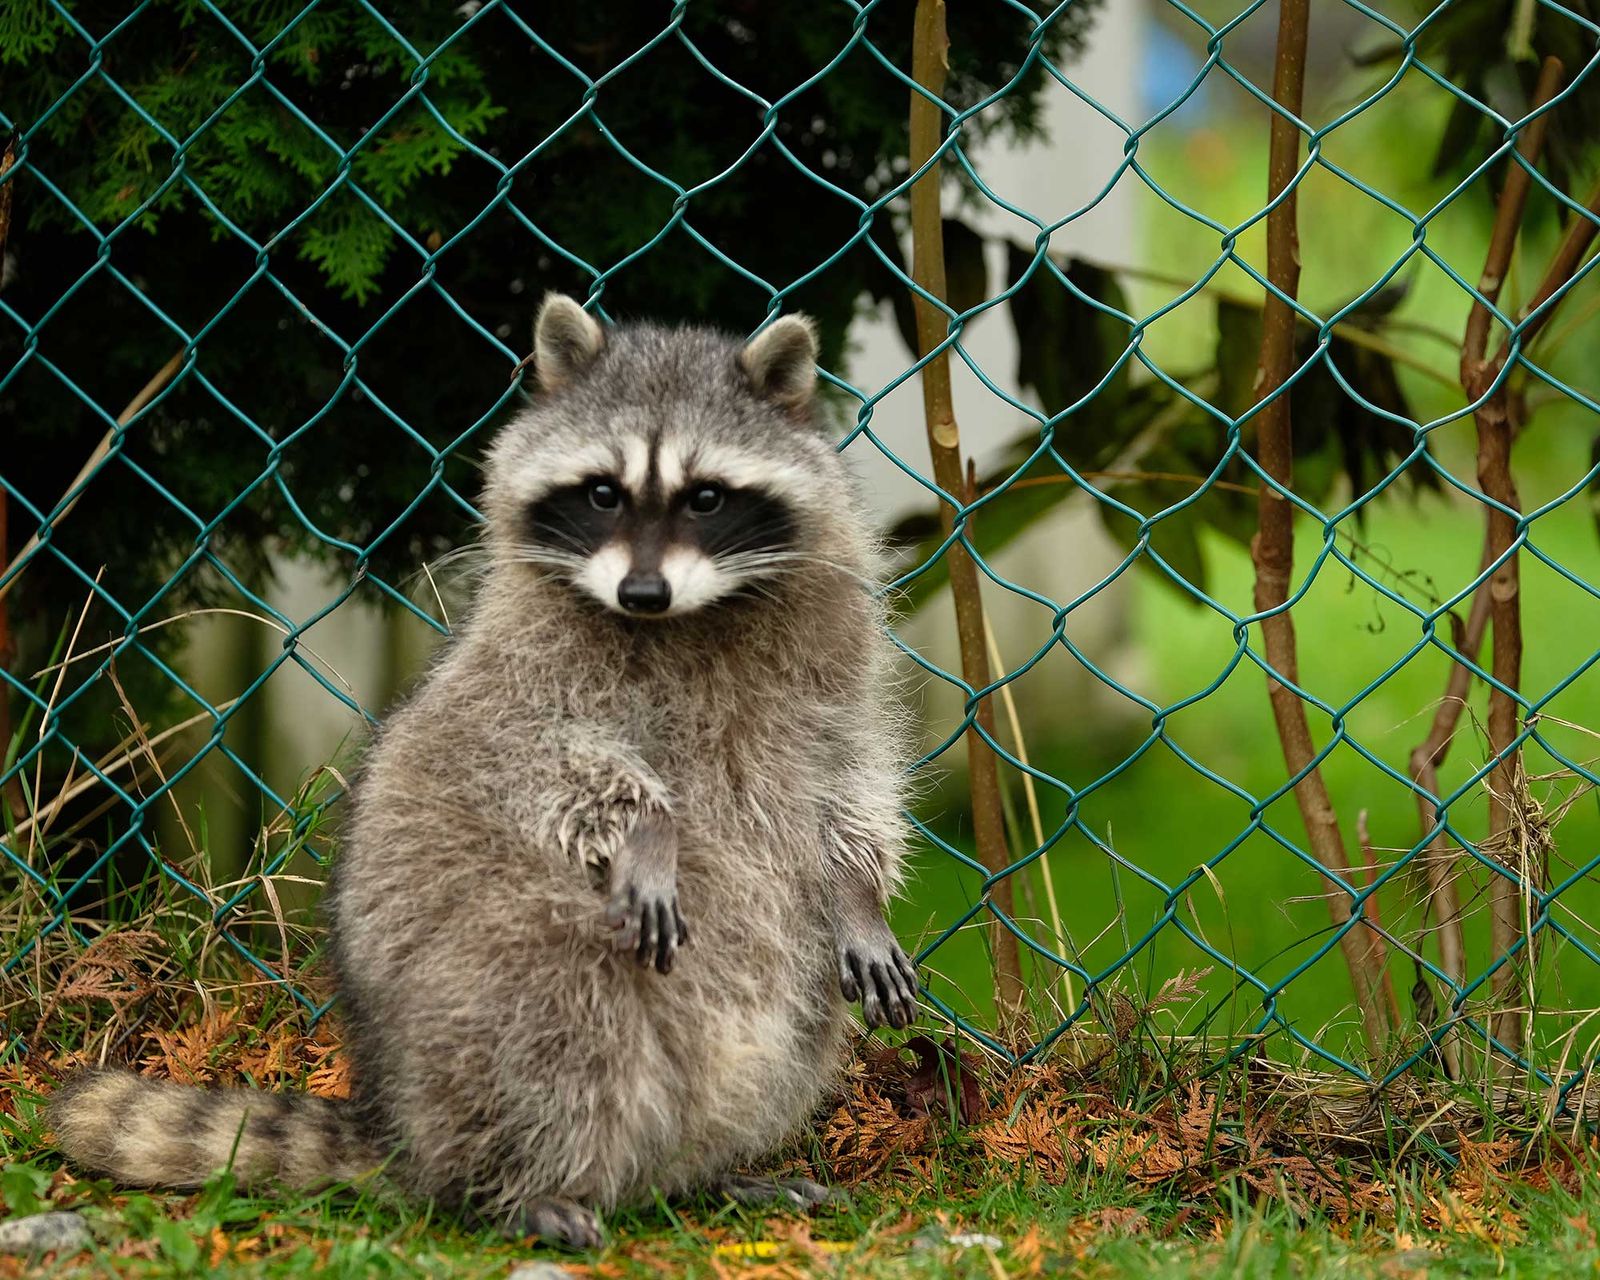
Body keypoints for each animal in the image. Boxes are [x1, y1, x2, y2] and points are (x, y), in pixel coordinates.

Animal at [51, 295, 918, 1248]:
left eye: (707, 497)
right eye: (604, 491)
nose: (642, 594)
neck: (689, 615)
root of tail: (406, 1123)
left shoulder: (834, 651)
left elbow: (851, 777)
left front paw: (859, 891)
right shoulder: (520, 665)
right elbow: (538, 753)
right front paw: (650, 827)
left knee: (788, 1018)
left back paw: (701, 1173)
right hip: (489, 974)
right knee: (554, 1008)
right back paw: (513, 1188)